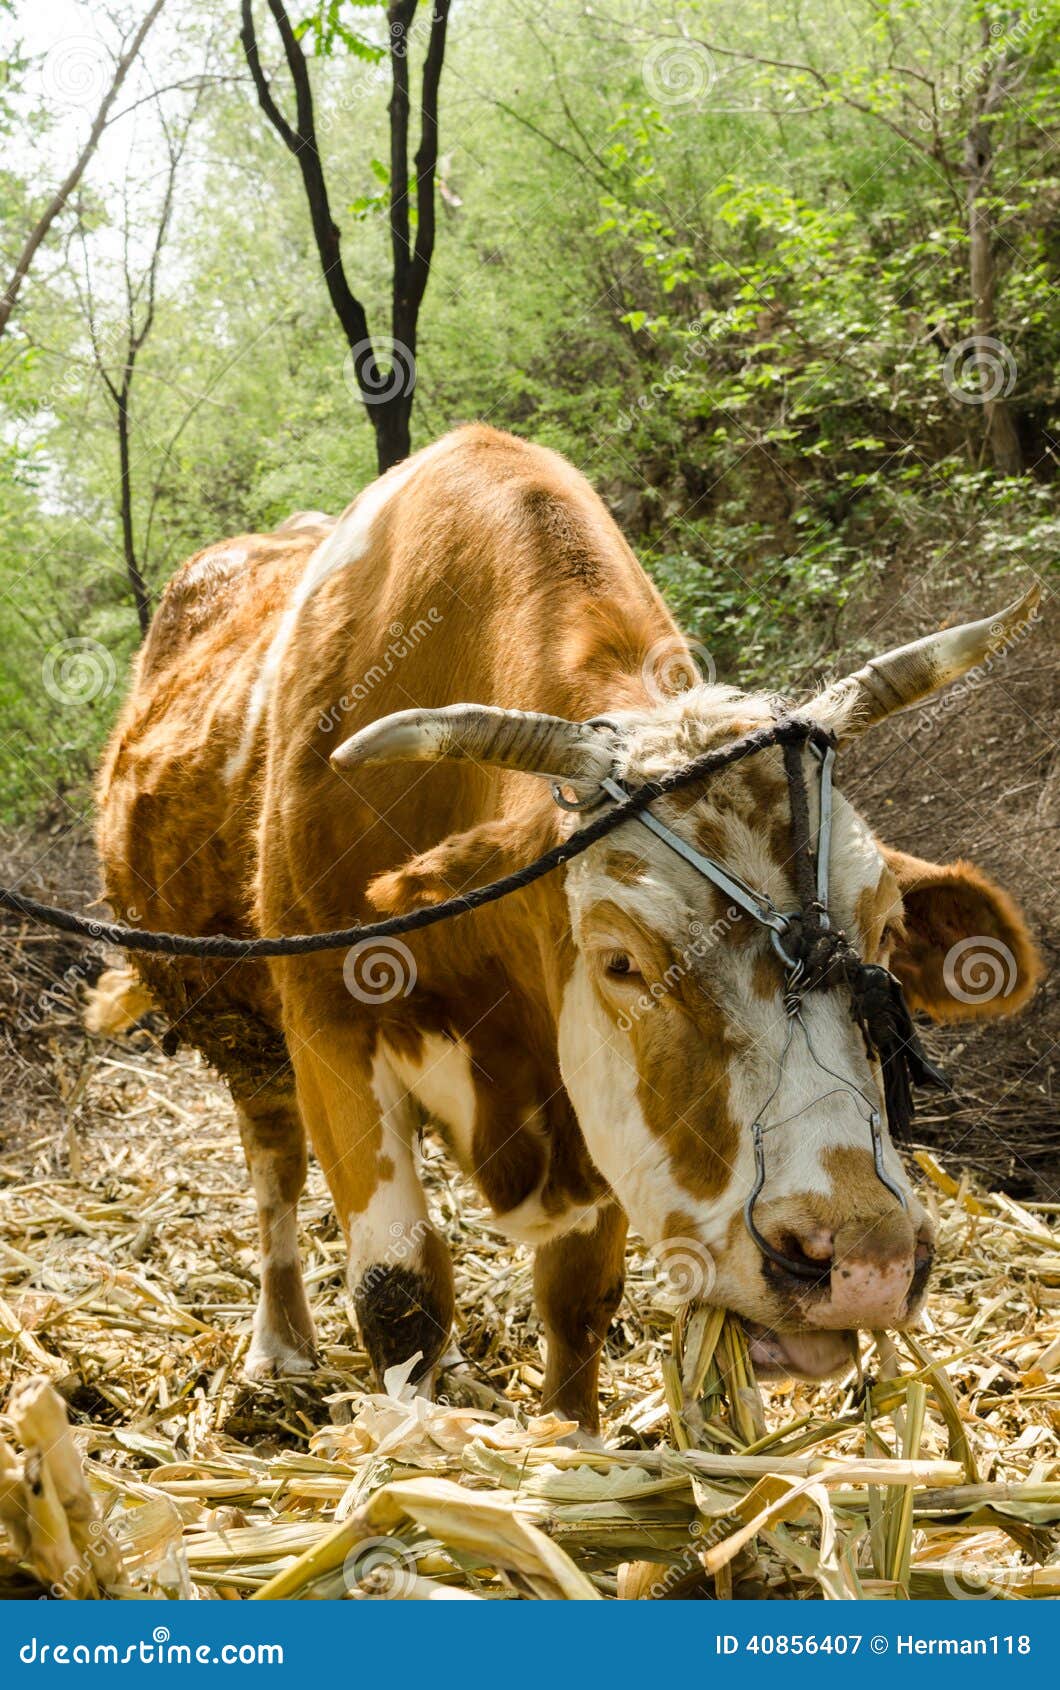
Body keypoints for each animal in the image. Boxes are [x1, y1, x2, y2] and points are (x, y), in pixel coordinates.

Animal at [94, 425, 1041, 1433]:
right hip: (240, 1034)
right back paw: (279, 1346)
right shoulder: (328, 1025)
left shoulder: (593, 1110)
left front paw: (571, 1438)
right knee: (274, 1169)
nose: (864, 1260)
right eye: (621, 963)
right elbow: (398, 1288)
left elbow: (578, 1298)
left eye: (884, 931)